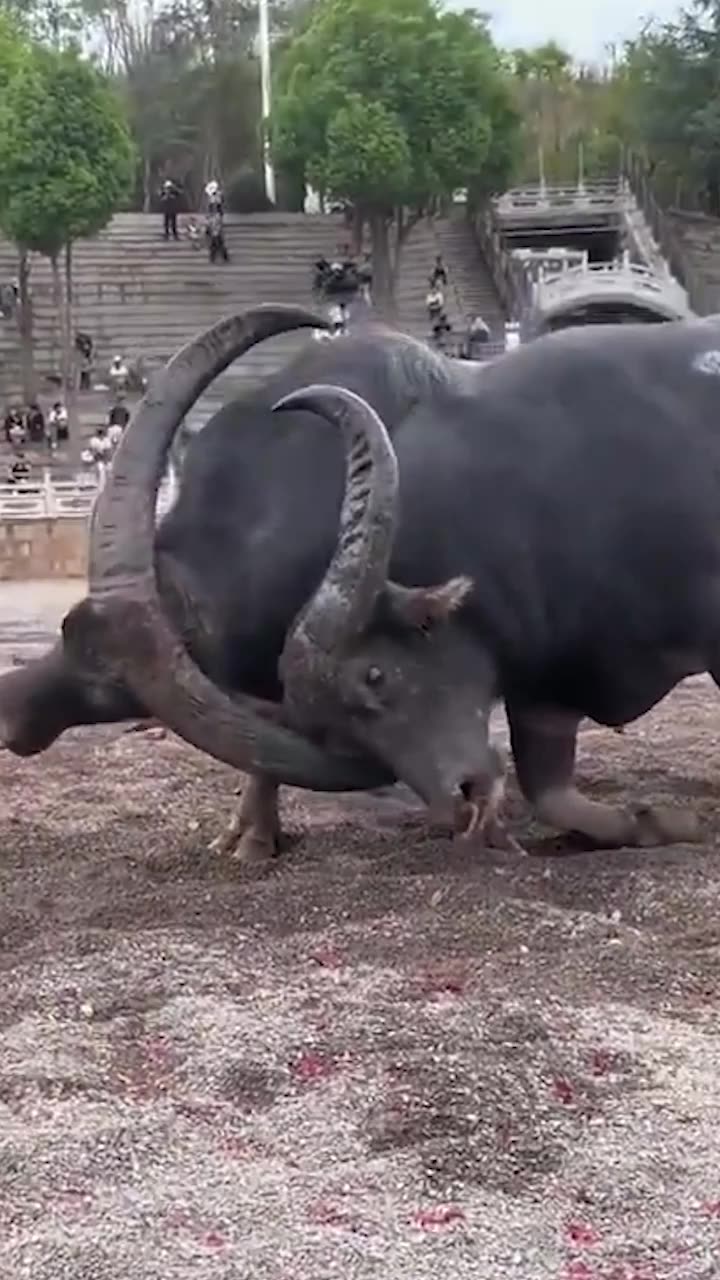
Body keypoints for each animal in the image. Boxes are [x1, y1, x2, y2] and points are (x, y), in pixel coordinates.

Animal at [1, 304, 716, 862]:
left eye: (109, 681)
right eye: (67, 630)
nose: (13, 713)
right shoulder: (543, 676)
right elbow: (551, 791)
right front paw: (250, 835)